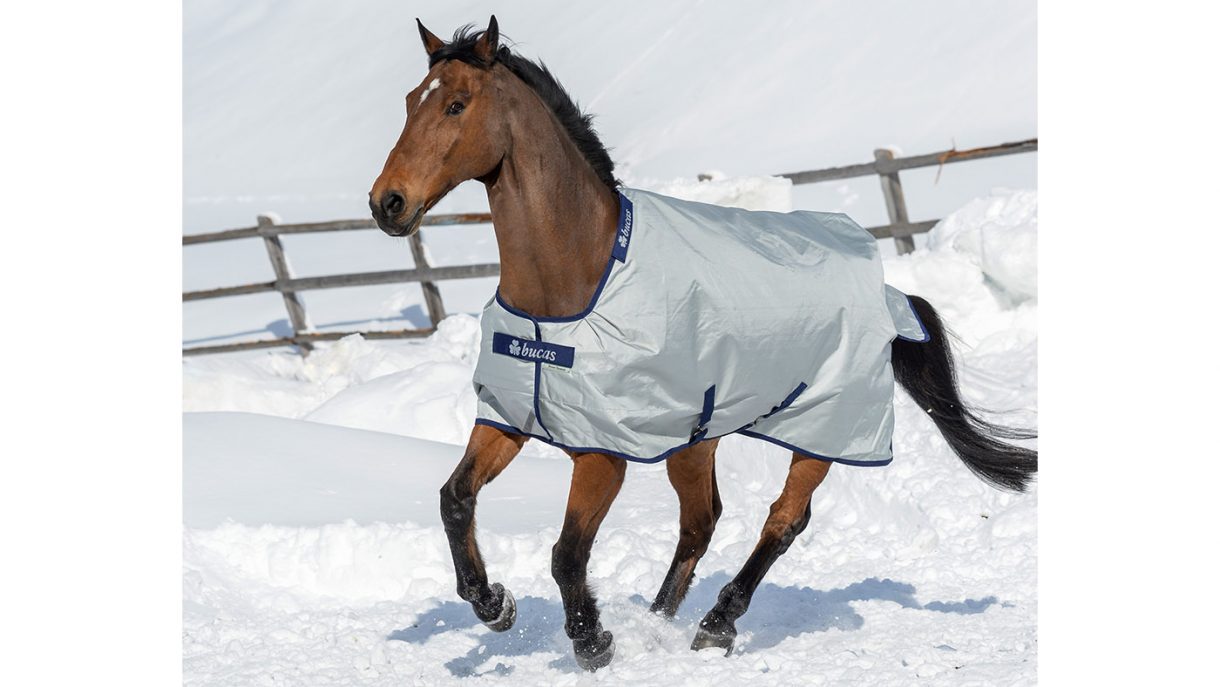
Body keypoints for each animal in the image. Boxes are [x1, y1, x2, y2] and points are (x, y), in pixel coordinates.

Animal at [369, 16, 1037, 672]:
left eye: (456, 104)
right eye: (408, 102)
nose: (387, 203)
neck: (573, 282)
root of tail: (887, 289)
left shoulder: (603, 453)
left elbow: (567, 552)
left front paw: (592, 642)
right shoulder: (509, 418)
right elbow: (454, 499)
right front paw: (494, 605)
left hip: (823, 431)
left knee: (783, 519)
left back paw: (715, 626)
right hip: (697, 437)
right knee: (701, 522)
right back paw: (658, 624)